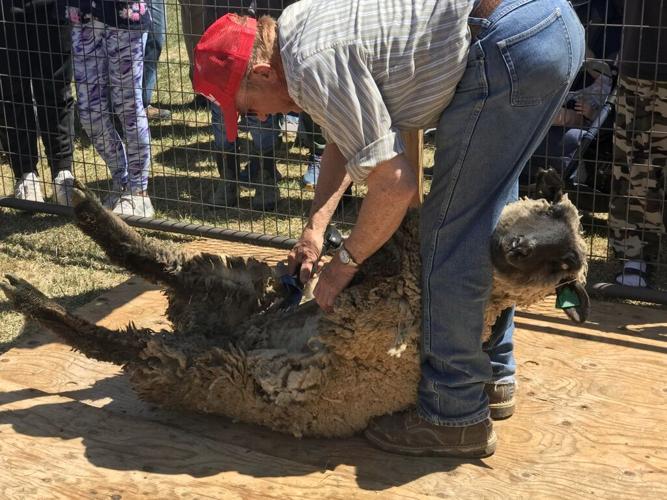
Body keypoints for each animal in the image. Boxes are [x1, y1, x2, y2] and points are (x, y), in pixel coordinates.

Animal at [0, 180, 589, 438]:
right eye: (551, 208)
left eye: (567, 266)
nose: (515, 247)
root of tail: (215, 332)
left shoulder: (370, 322)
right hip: (231, 284)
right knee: (156, 260)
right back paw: (80, 208)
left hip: (187, 363)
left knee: (116, 339)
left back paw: (27, 293)